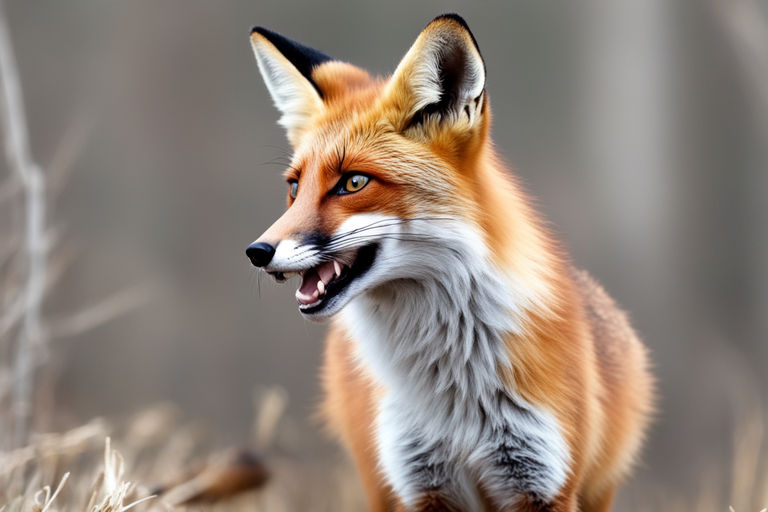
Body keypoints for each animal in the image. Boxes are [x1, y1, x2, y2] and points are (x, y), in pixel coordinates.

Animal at [244, 14, 653, 512]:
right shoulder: (421, 484)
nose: (257, 251)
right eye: (294, 187)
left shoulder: (543, 483)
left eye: (353, 182)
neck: (453, 388)